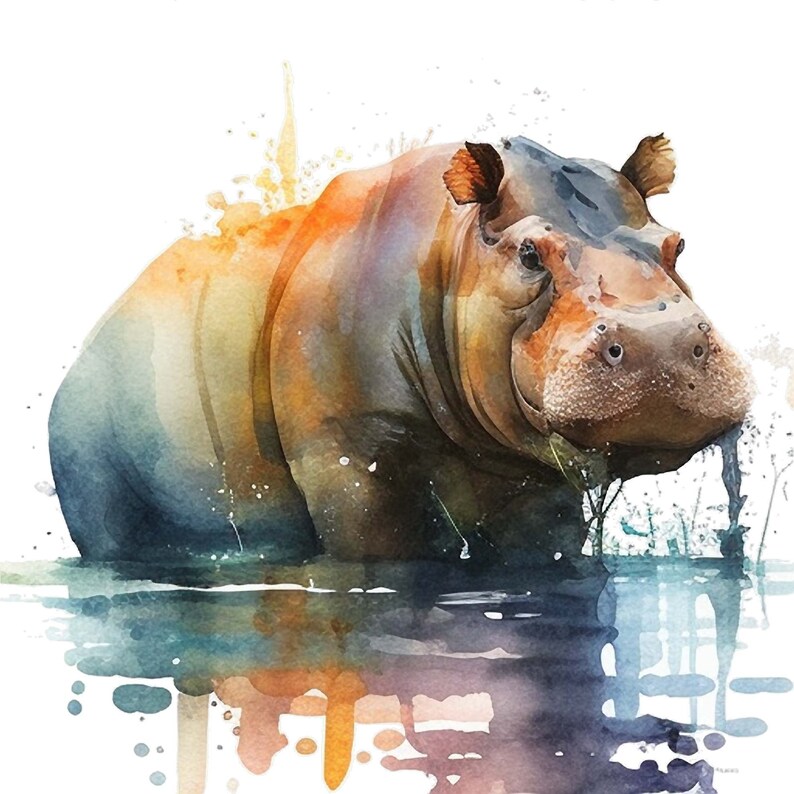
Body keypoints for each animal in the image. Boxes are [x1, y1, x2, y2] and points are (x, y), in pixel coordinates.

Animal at [48, 134, 751, 564]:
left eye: (677, 244)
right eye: (529, 253)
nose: (660, 342)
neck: (457, 245)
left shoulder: (535, 485)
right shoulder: (345, 453)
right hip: (82, 437)